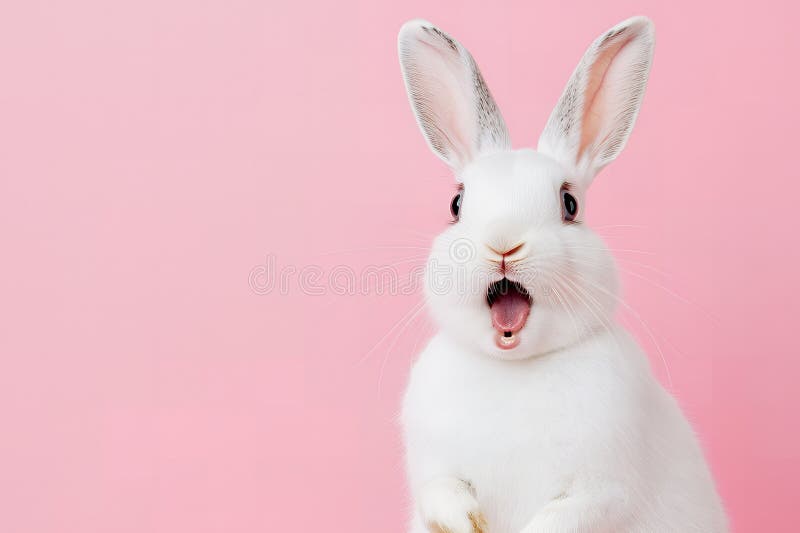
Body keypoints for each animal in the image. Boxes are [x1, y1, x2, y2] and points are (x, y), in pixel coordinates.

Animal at [397, 16, 728, 533]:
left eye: (569, 203)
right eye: (456, 204)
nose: (503, 242)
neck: (515, 369)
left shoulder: (602, 487)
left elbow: (568, 513)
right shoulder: (434, 469)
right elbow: (442, 493)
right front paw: (469, 521)